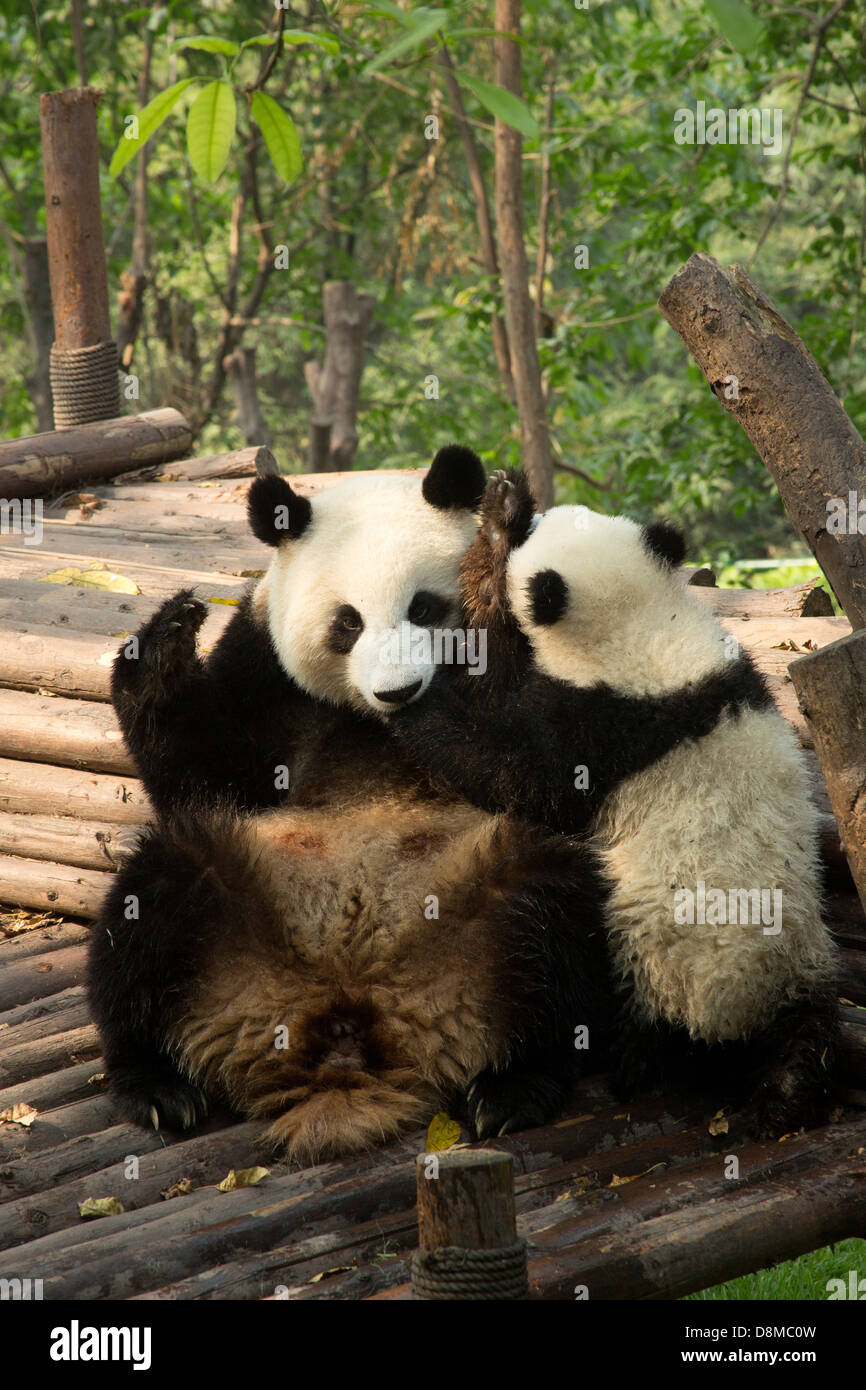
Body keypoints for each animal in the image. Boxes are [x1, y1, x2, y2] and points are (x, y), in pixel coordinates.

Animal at [90, 452, 741, 1161]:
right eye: (347, 622)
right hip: (242, 887)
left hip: (480, 888)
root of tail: (352, 1010)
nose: (397, 692)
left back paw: (513, 1085)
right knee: (155, 894)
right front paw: (167, 640)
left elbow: (524, 762)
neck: (373, 724)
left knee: (552, 913)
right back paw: (157, 1085)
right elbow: (204, 782)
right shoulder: (264, 671)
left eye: (424, 608)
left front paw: (499, 528)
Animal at [391, 472, 841, 1137]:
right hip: (801, 961)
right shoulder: (739, 673)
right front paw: (503, 504)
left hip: (633, 948)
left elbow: (509, 764)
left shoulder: (593, 726)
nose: (524, 514)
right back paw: (786, 1096)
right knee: (809, 1039)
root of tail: (724, 1035)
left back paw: (515, 1089)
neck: (641, 626)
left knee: (551, 950)